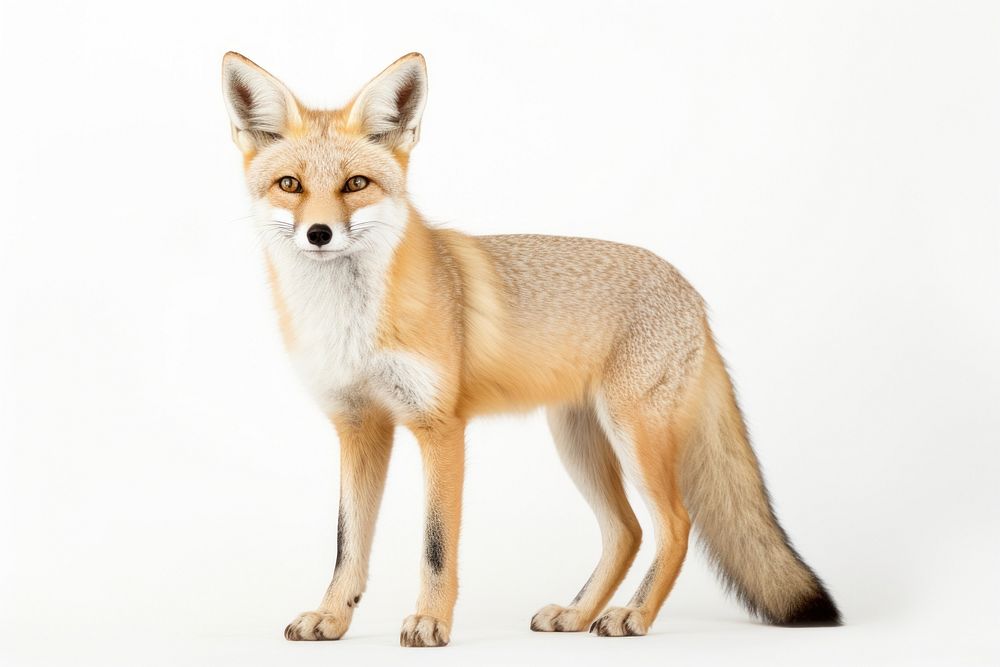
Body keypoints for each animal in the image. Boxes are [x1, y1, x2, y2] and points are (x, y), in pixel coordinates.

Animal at [221, 51, 841, 647]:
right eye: (290, 185)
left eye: (355, 184)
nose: (319, 234)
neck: (350, 325)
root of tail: (693, 295)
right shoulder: (359, 426)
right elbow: (348, 545)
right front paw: (332, 618)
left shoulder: (439, 426)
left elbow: (436, 546)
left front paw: (431, 623)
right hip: (577, 442)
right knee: (627, 531)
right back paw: (578, 613)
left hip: (633, 434)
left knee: (675, 524)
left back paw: (632, 615)